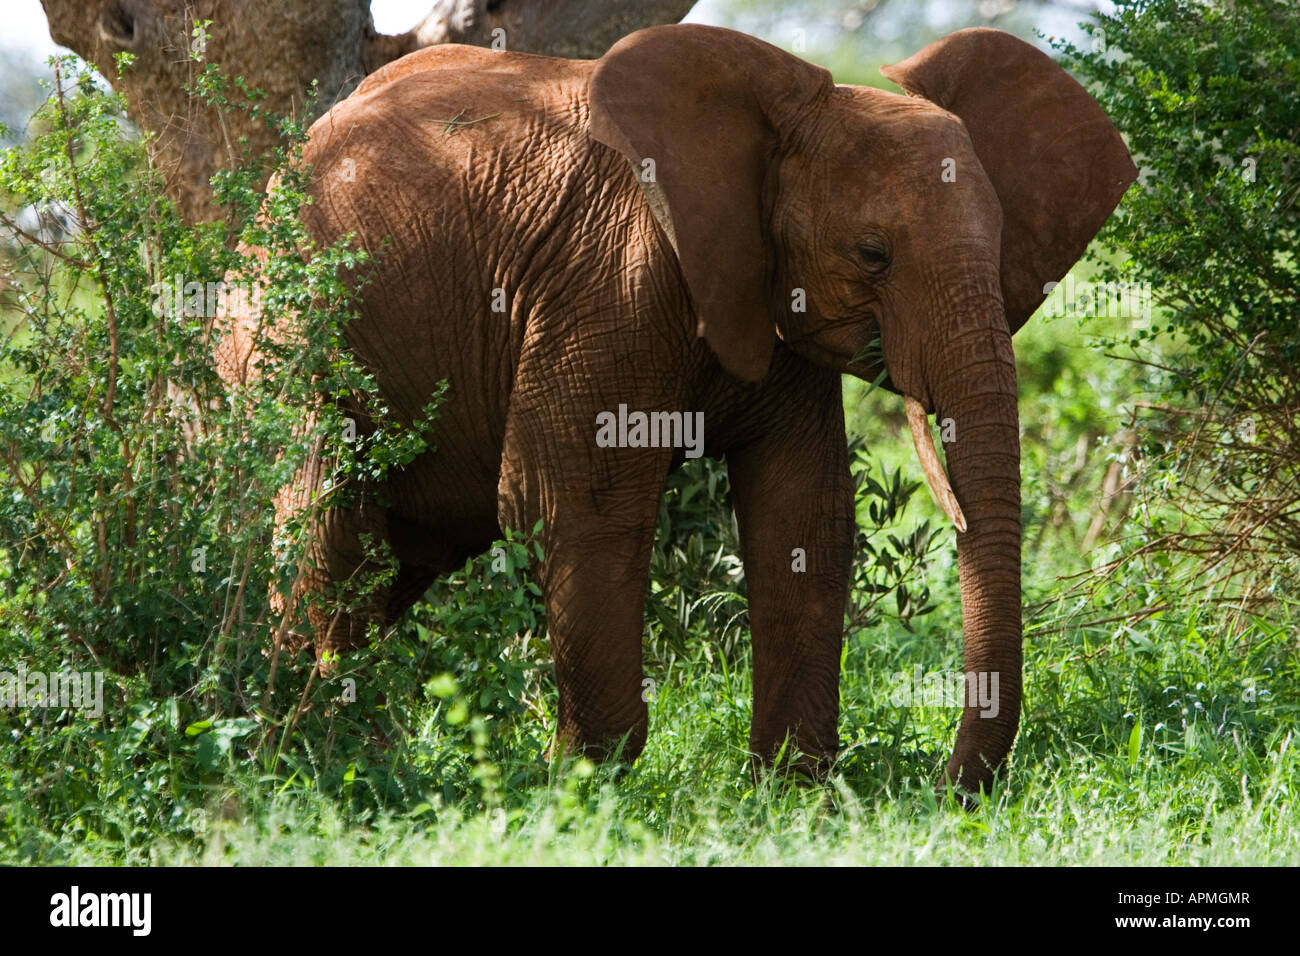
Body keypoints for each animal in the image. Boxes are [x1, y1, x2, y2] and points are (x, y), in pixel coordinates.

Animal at [221, 23, 1136, 792]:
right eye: (872, 256)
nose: (951, 788)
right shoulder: (609, 276)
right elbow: (571, 501)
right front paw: (590, 787)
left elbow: (803, 514)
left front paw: (792, 792)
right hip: (283, 328)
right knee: (331, 522)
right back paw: (324, 755)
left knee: (390, 555)